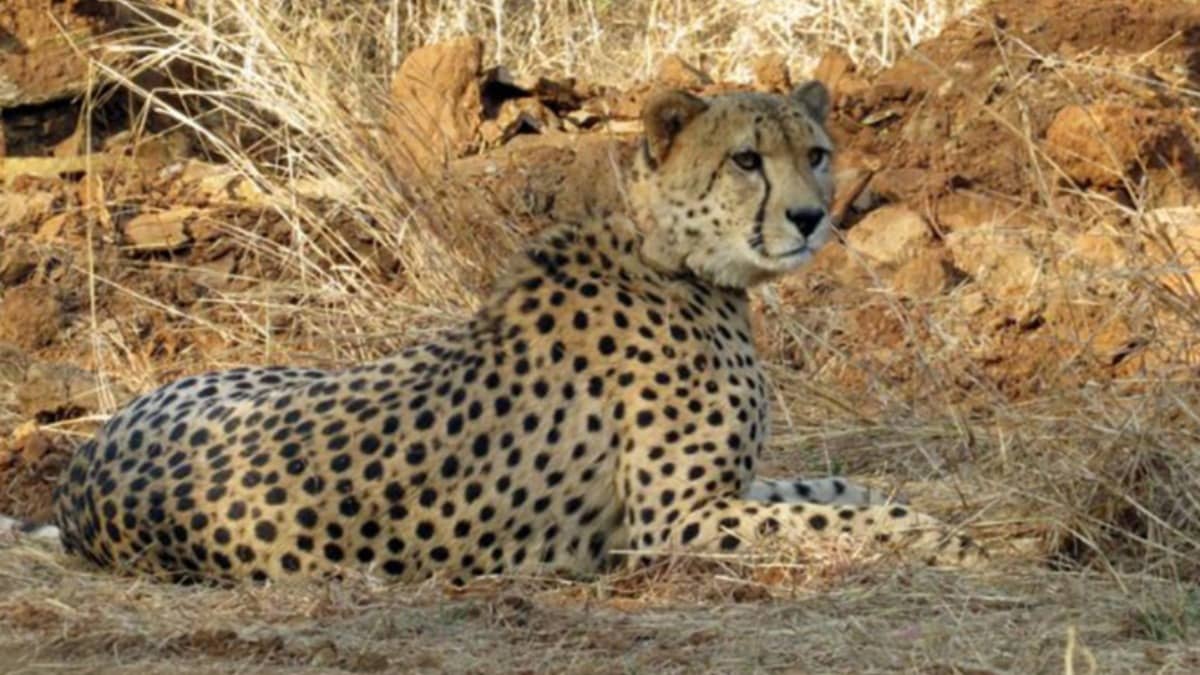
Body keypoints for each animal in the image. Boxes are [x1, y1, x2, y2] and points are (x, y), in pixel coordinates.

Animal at [3, 81, 982, 584]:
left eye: (814, 152)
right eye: (746, 159)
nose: (814, 218)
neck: (676, 258)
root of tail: (79, 476)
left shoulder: (725, 490)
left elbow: (841, 487)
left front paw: (943, 521)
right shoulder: (670, 520)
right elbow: (841, 517)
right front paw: (948, 545)